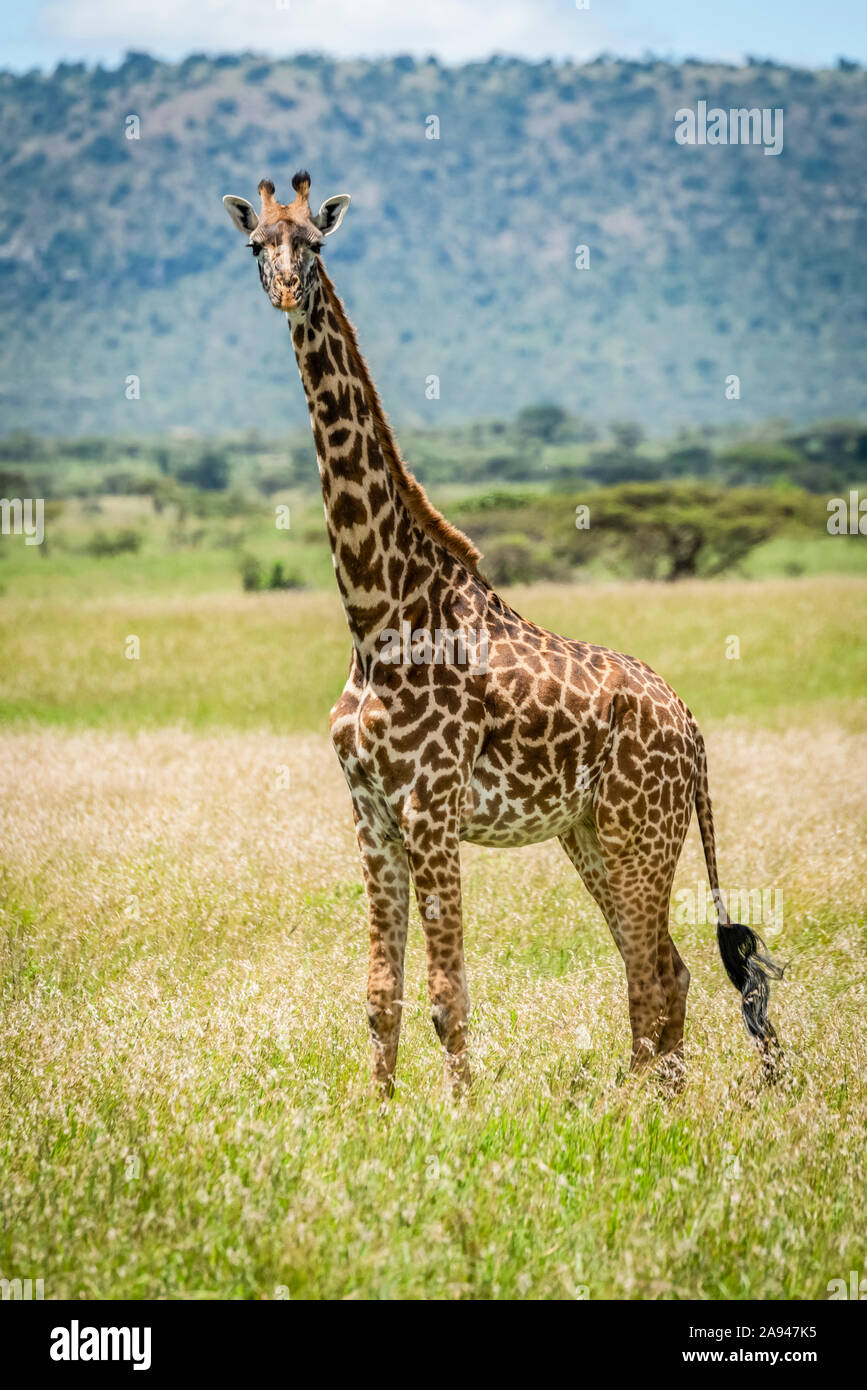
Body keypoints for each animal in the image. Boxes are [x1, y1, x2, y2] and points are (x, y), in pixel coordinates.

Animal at [223, 172, 783, 1096]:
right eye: (254, 243)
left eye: (315, 242)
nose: (287, 290)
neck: (377, 614)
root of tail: (692, 727)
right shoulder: (369, 812)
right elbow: (380, 993)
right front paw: (378, 1115)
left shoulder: (431, 807)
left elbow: (447, 993)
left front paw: (458, 1116)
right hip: (589, 834)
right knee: (661, 967)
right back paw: (646, 1104)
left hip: (639, 830)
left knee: (654, 973)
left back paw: (640, 1110)